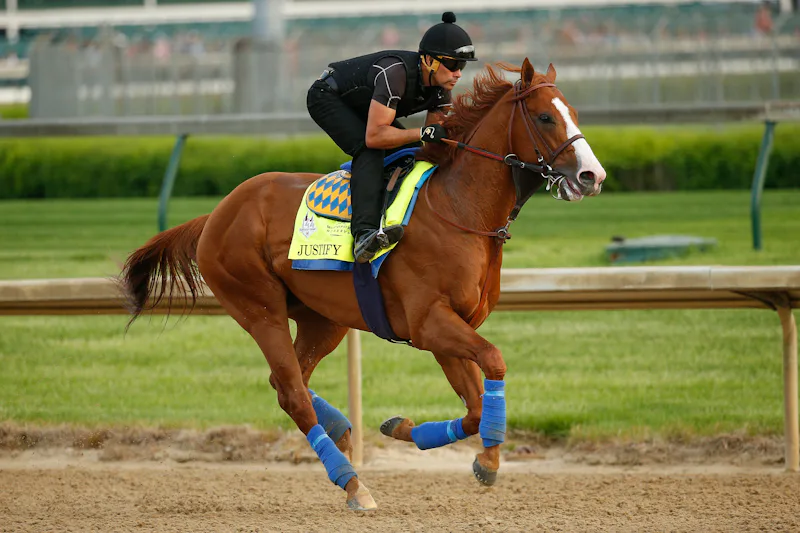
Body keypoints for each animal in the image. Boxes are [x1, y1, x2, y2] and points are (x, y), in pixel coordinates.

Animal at [120, 58, 606, 511]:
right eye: (545, 117)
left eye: (573, 112)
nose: (593, 176)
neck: (458, 208)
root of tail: (216, 213)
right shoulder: (430, 323)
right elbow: (495, 360)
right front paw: (488, 460)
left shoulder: (447, 329)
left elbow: (473, 407)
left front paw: (411, 430)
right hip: (259, 308)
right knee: (291, 392)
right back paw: (353, 483)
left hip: (323, 319)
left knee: (287, 381)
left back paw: (338, 427)